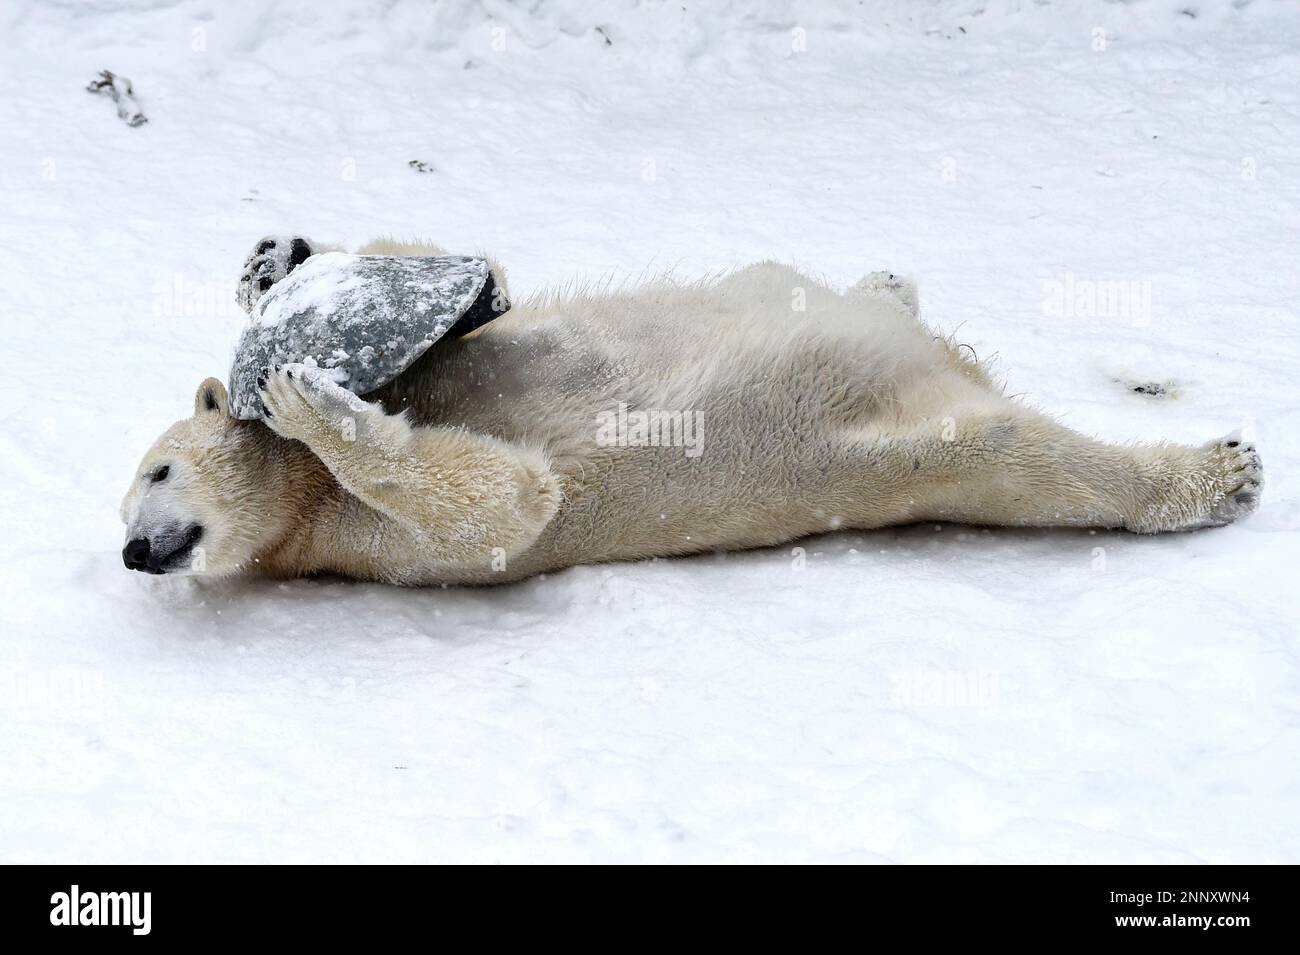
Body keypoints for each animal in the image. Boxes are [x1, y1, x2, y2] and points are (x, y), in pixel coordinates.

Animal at [119, 235, 1263, 585]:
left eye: (154, 472)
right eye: (131, 502)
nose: (137, 550)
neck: (299, 511)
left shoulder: (463, 358)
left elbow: (480, 300)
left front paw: (282, 273)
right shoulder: (368, 545)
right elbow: (507, 502)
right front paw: (307, 395)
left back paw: (888, 282)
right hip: (900, 445)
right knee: (1024, 458)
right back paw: (1219, 474)